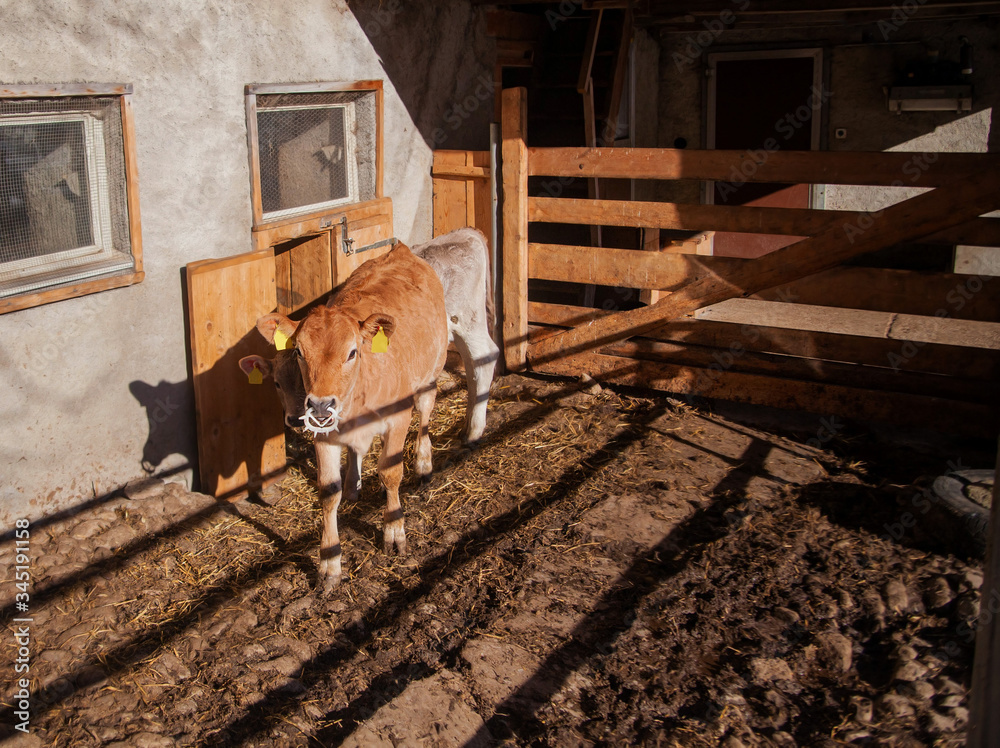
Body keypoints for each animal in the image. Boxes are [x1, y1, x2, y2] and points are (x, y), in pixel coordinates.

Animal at [240, 227, 498, 442]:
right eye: (277, 383)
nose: (294, 418)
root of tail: (465, 233)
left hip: (468, 320)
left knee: (484, 356)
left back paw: (474, 430)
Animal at [254, 244, 448, 591]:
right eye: (299, 351)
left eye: (352, 352)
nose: (320, 406)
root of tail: (400, 250)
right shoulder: (323, 435)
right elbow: (327, 492)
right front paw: (329, 562)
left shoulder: (398, 418)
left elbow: (391, 472)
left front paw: (394, 532)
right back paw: (353, 485)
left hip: (432, 370)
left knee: (426, 412)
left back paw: (424, 464)